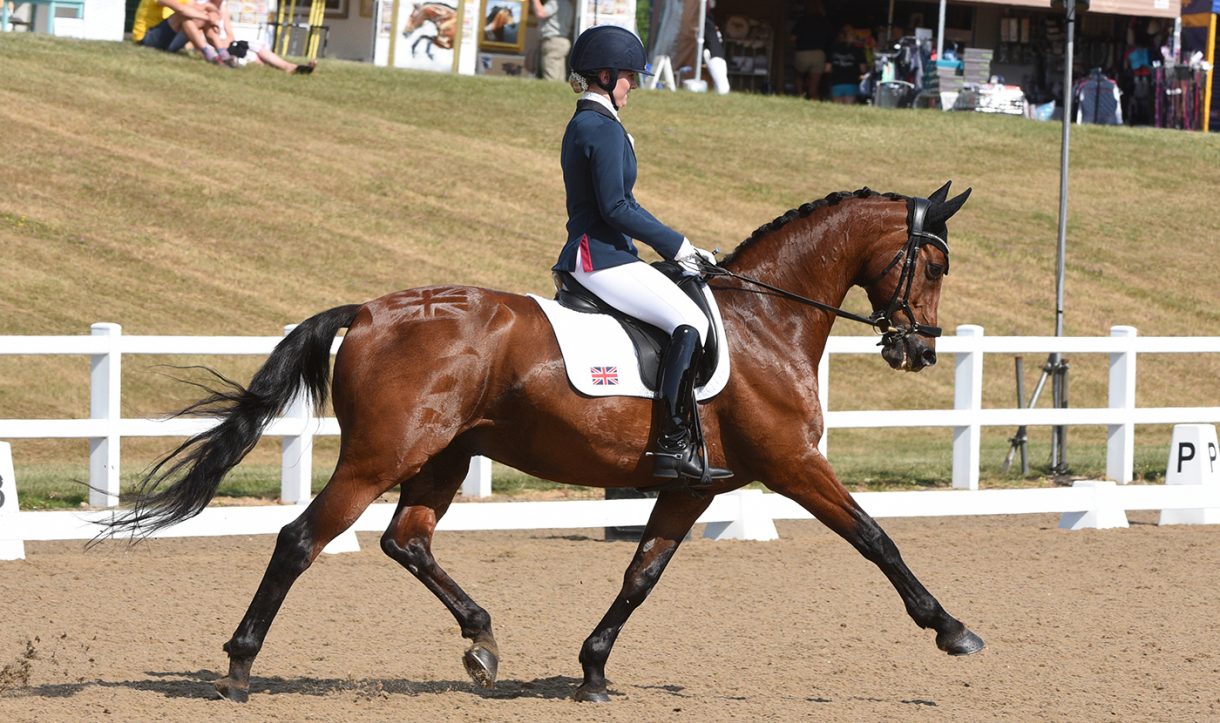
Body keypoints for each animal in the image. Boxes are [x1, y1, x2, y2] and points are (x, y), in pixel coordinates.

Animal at [101, 184, 980, 703]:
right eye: (934, 263)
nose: (919, 349)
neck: (768, 317)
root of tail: (370, 311)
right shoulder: (794, 465)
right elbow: (877, 538)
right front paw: (952, 629)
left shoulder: (693, 485)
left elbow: (641, 573)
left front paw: (592, 668)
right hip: (380, 456)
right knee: (301, 538)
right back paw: (240, 665)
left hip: (446, 456)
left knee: (406, 540)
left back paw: (483, 642)